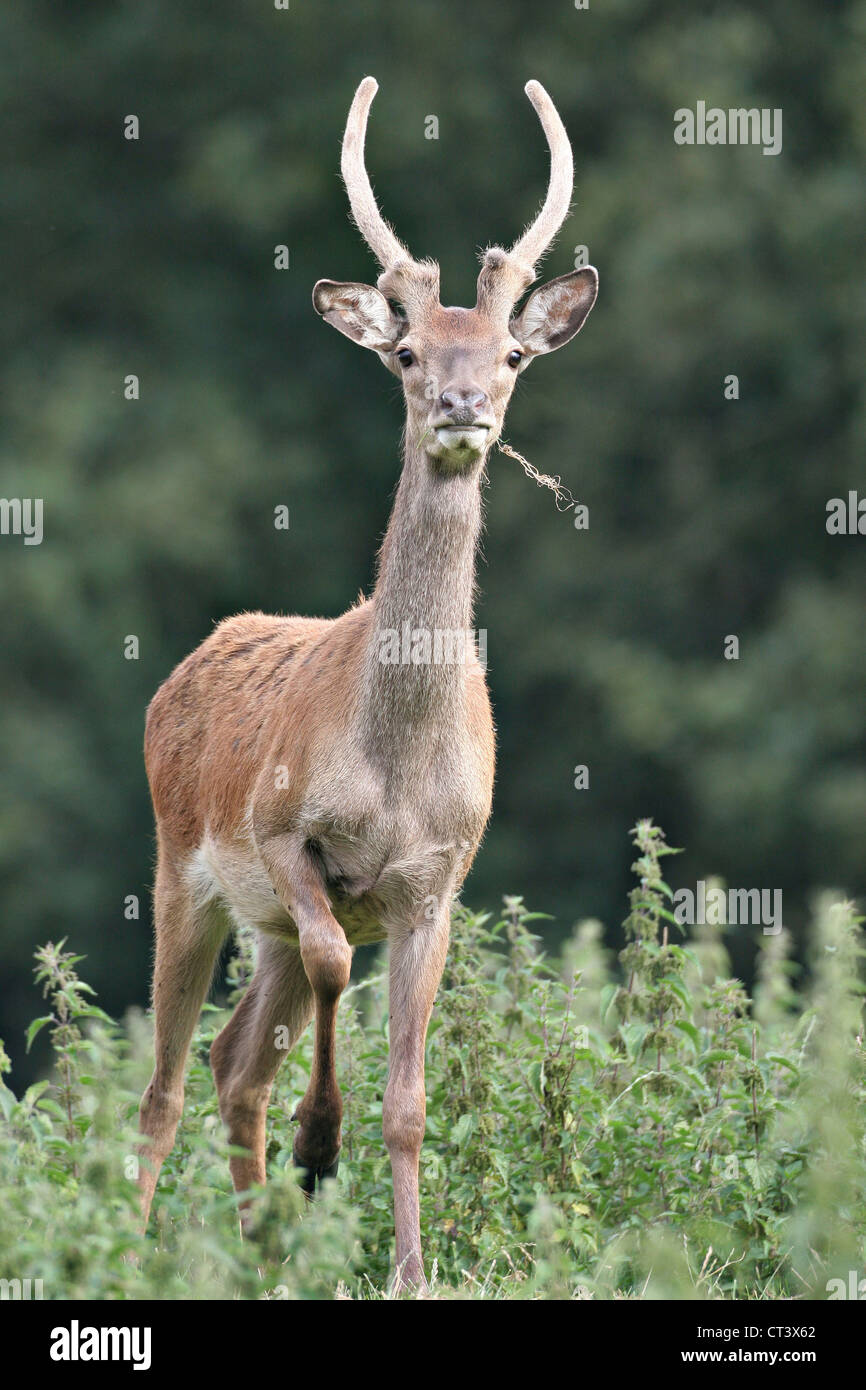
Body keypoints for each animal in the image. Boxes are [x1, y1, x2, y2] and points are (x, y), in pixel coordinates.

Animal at [137, 75, 598, 1290]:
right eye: (406, 354)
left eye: (510, 354)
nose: (461, 406)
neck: (390, 768)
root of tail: (186, 664)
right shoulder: (284, 835)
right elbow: (339, 951)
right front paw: (318, 1143)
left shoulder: (441, 882)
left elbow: (411, 1100)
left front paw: (408, 1266)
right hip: (184, 869)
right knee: (164, 1084)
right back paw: (132, 1240)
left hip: (252, 921)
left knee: (231, 1060)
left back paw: (263, 1246)